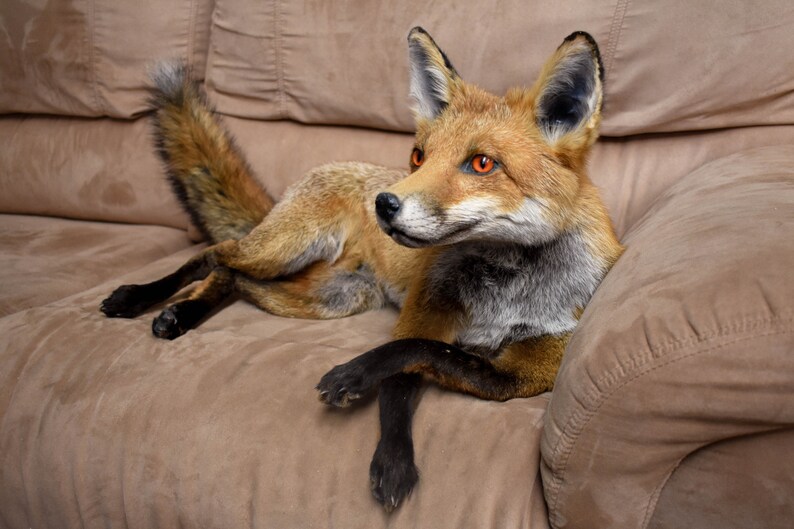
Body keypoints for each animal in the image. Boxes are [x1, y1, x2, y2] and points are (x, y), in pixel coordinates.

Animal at [101, 28, 623, 512]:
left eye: (481, 163)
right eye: (419, 156)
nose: (384, 204)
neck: (503, 289)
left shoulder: (526, 374)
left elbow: (422, 353)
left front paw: (355, 380)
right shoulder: (423, 316)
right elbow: (402, 374)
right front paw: (391, 457)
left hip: (328, 297)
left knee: (235, 278)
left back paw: (181, 313)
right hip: (286, 252)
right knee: (215, 254)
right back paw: (142, 299)